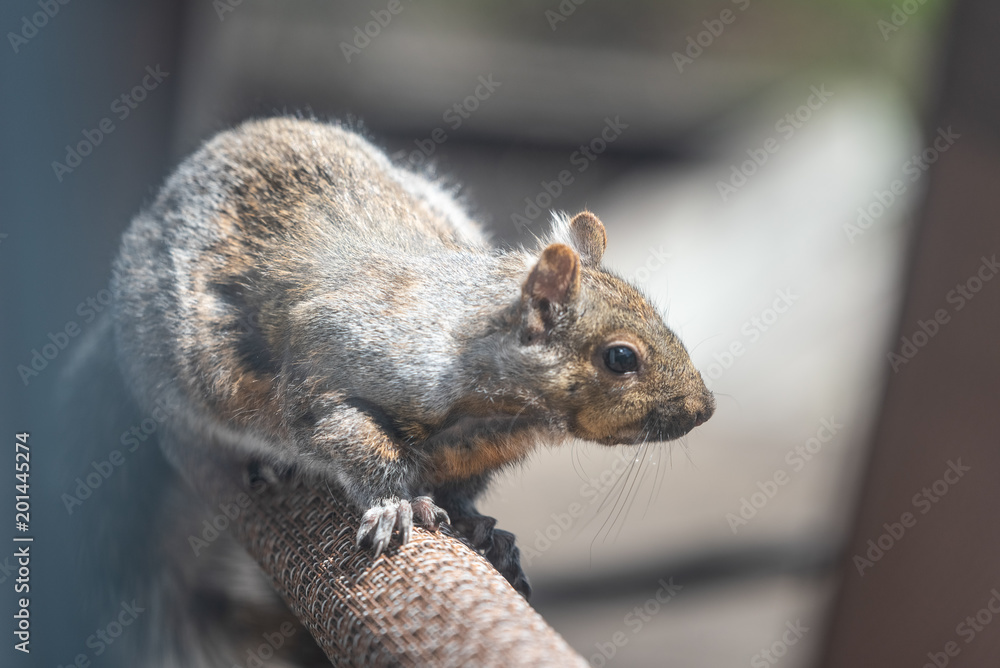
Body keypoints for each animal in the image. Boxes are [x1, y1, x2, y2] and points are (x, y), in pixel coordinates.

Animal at [101, 116, 713, 663]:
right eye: (620, 357)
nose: (703, 409)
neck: (501, 417)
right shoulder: (330, 368)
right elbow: (350, 438)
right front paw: (397, 504)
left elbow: (464, 490)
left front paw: (481, 528)